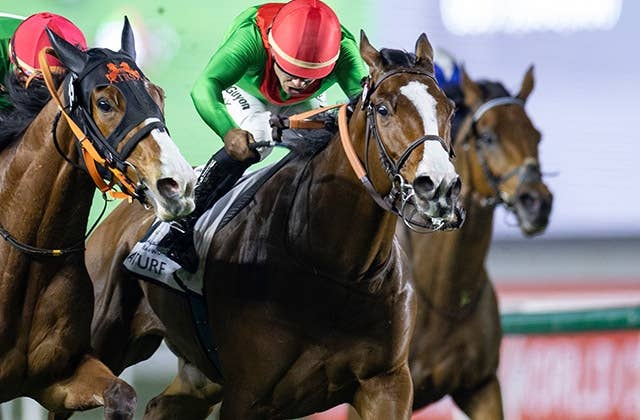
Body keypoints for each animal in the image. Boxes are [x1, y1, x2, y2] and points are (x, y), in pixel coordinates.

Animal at [85, 31, 465, 419]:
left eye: (449, 109)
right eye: (385, 109)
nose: (438, 187)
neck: (338, 268)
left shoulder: (387, 383)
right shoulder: (247, 396)